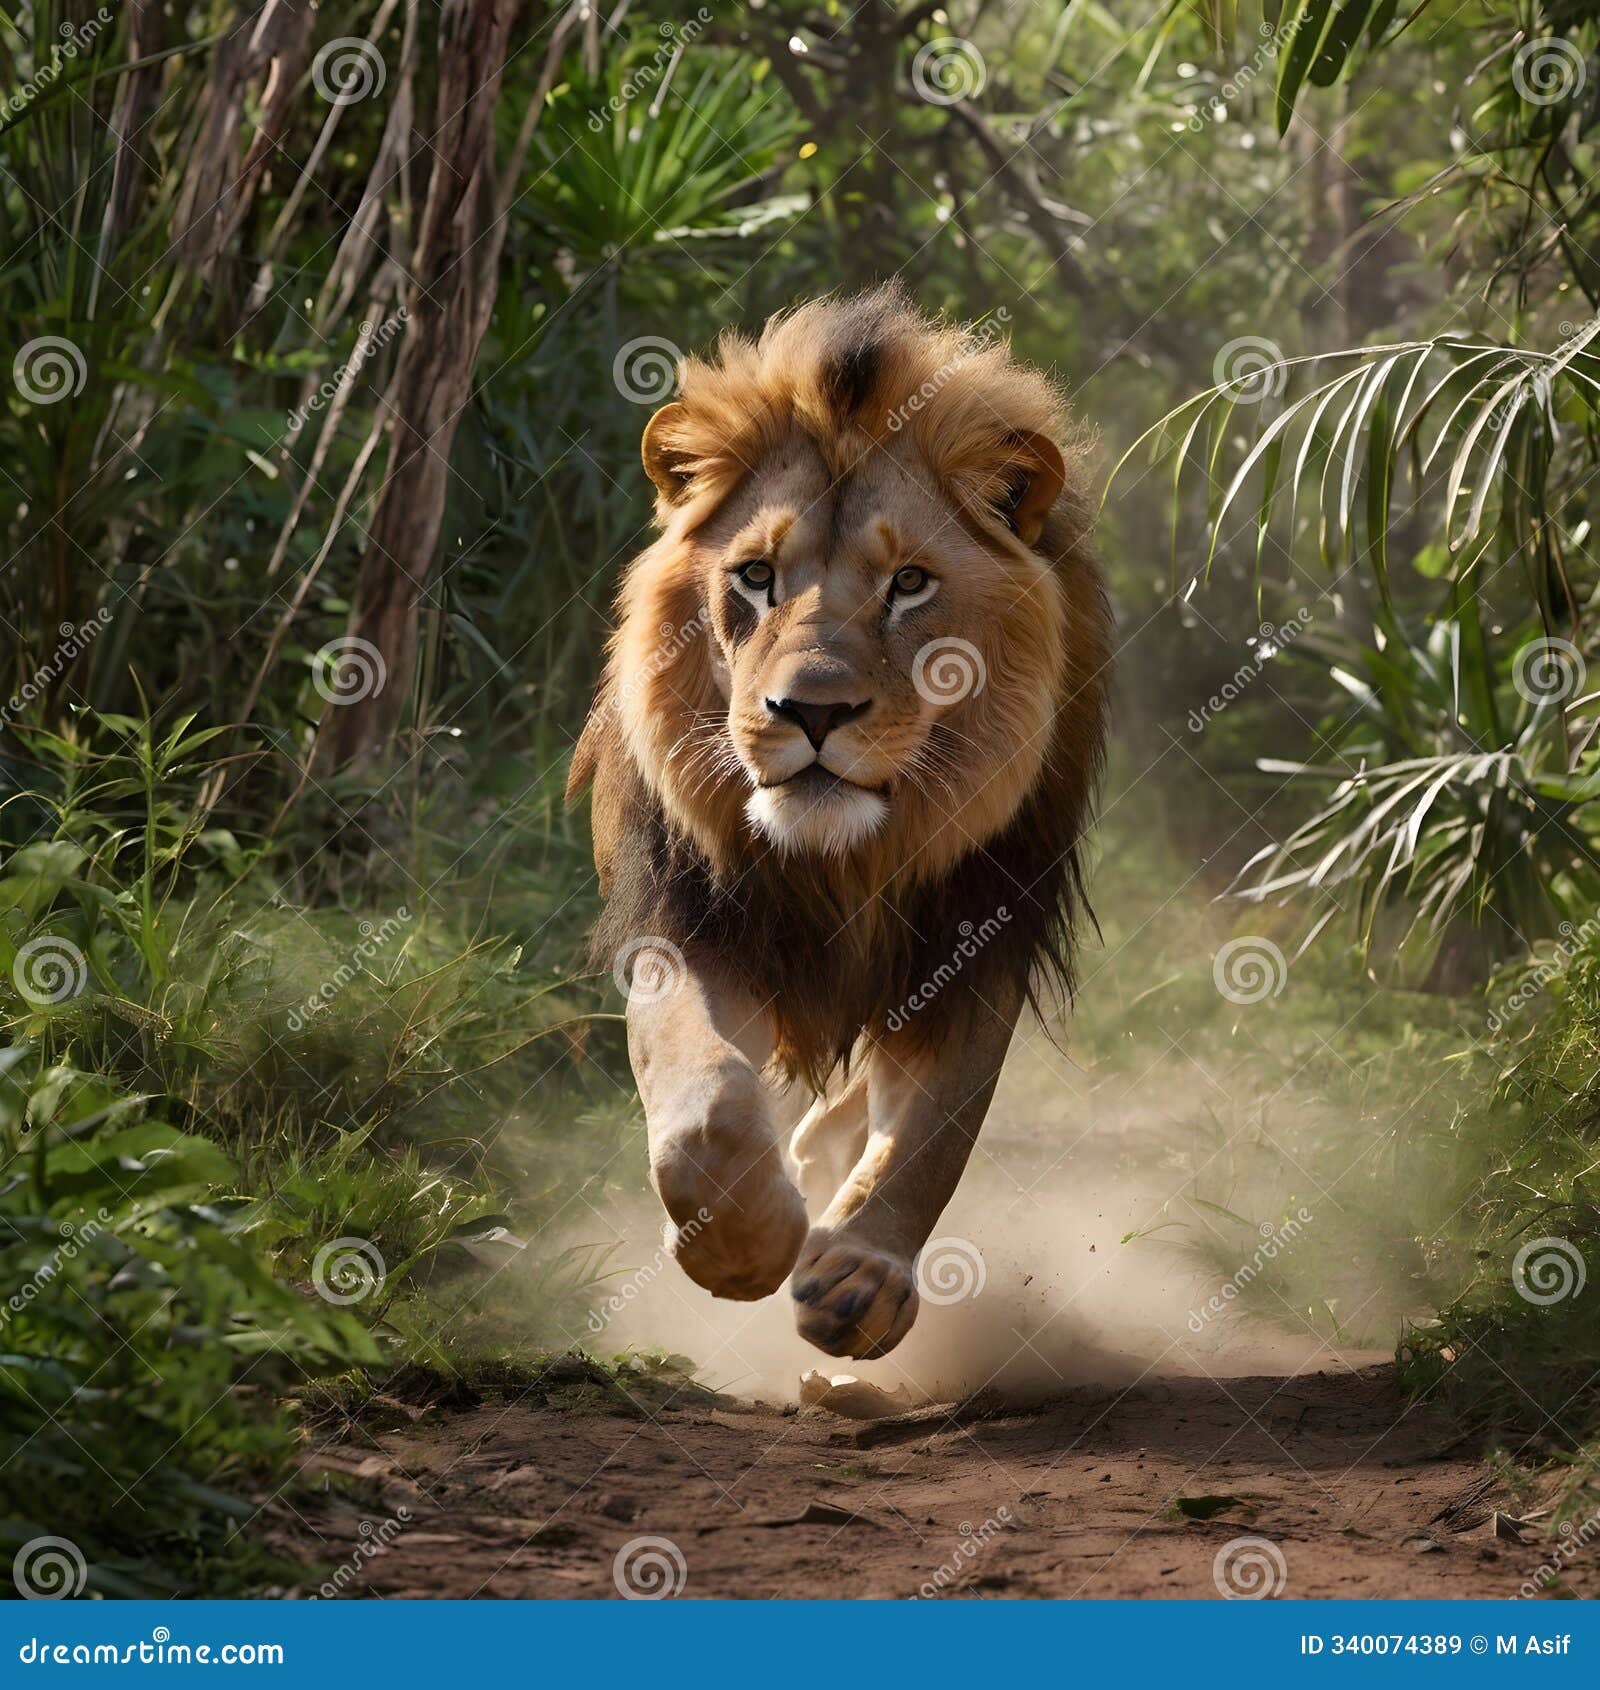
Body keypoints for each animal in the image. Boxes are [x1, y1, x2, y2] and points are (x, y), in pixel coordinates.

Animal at [568, 285, 1111, 1360]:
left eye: (910, 583)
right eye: (754, 576)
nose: (811, 713)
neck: (844, 860)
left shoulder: (977, 942)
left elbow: (936, 1130)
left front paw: (861, 1273)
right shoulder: (690, 921)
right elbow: (707, 1097)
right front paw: (737, 1240)